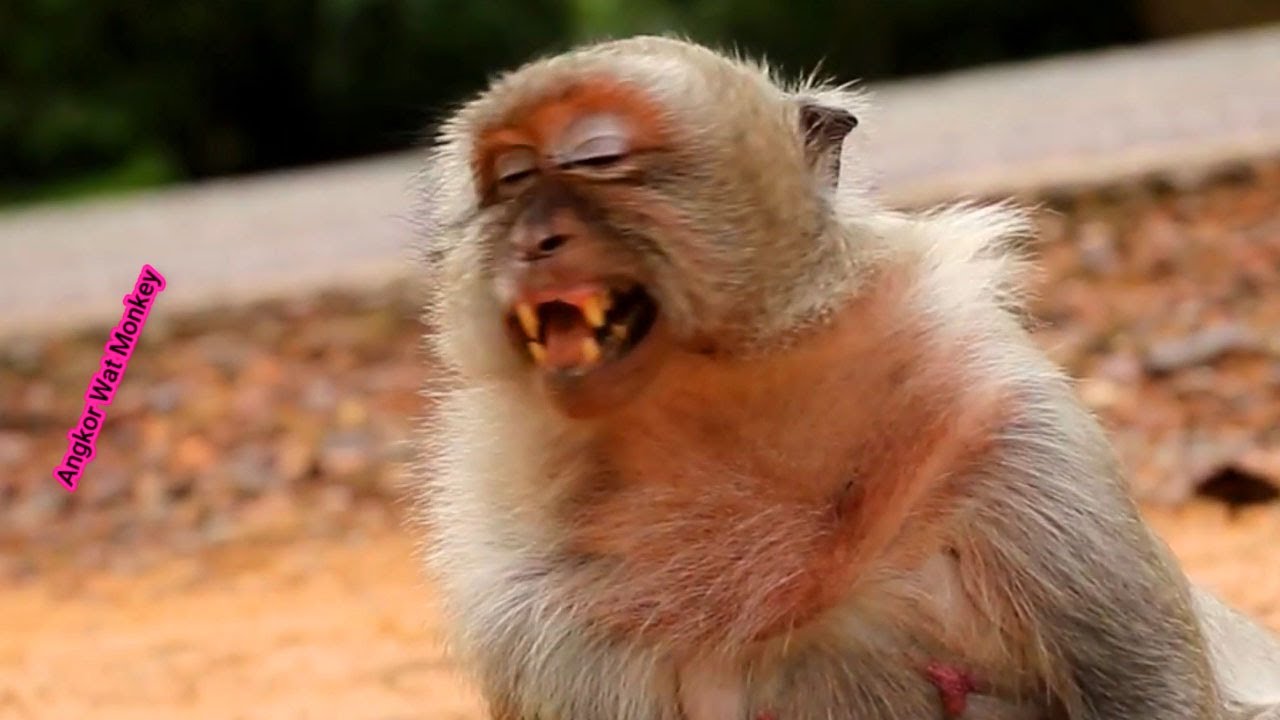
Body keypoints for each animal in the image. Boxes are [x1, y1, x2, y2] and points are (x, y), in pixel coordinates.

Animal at [413, 35, 1280, 720]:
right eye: (512, 179)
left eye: (597, 159)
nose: (535, 240)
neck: (728, 402)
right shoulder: (536, 609)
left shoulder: (994, 415)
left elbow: (1146, 691)